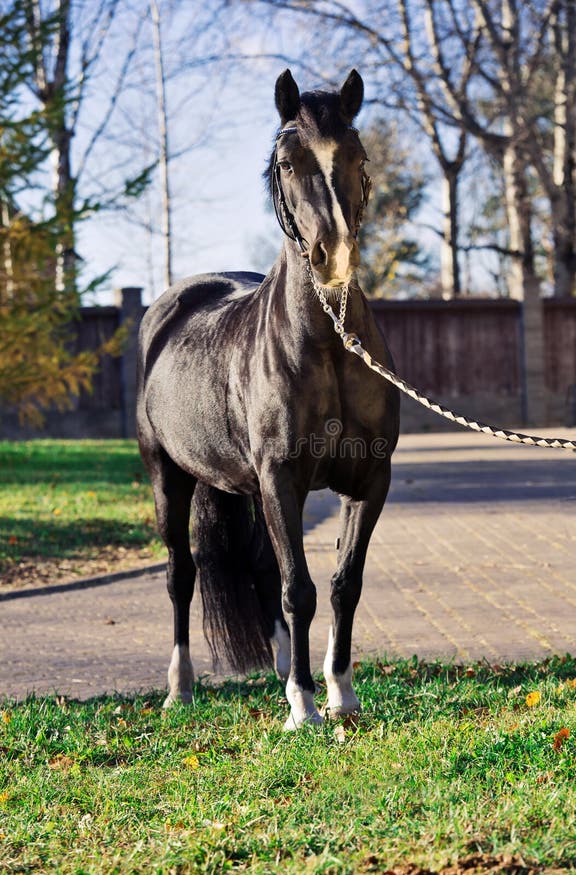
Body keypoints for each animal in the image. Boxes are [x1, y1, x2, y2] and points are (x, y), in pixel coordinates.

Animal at [136, 69, 400, 729]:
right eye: (286, 161)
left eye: (358, 155)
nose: (334, 259)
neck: (329, 346)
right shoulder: (282, 479)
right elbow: (298, 589)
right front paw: (304, 708)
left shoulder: (369, 481)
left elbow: (342, 584)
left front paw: (339, 695)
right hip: (168, 476)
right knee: (182, 574)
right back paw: (181, 689)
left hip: (247, 488)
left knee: (257, 566)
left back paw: (282, 671)